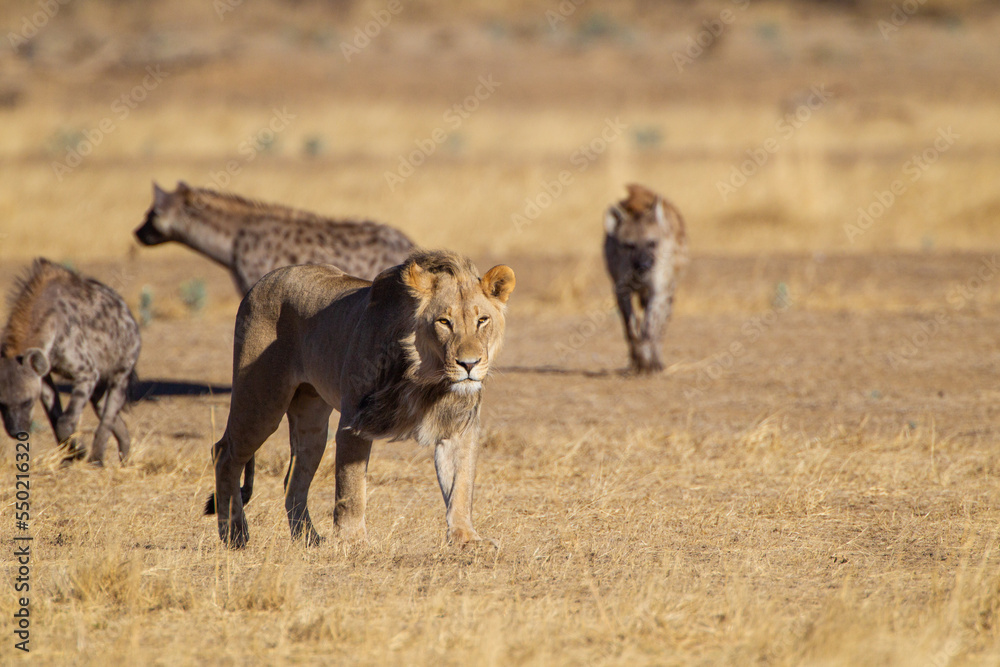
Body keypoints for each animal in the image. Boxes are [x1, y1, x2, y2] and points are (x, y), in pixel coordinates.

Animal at [205, 249, 515, 548]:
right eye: (444, 322)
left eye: (482, 321)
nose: (469, 364)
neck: (428, 377)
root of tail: (262, 281)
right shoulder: (353, 423)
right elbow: (351, 489)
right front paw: (353, 541)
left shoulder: (458, 426)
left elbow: (460, 486)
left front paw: (467, 539)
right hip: (261, 401)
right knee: (224, 453)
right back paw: (234, 534)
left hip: (311, 422)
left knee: (293, 481)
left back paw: (309, 540)